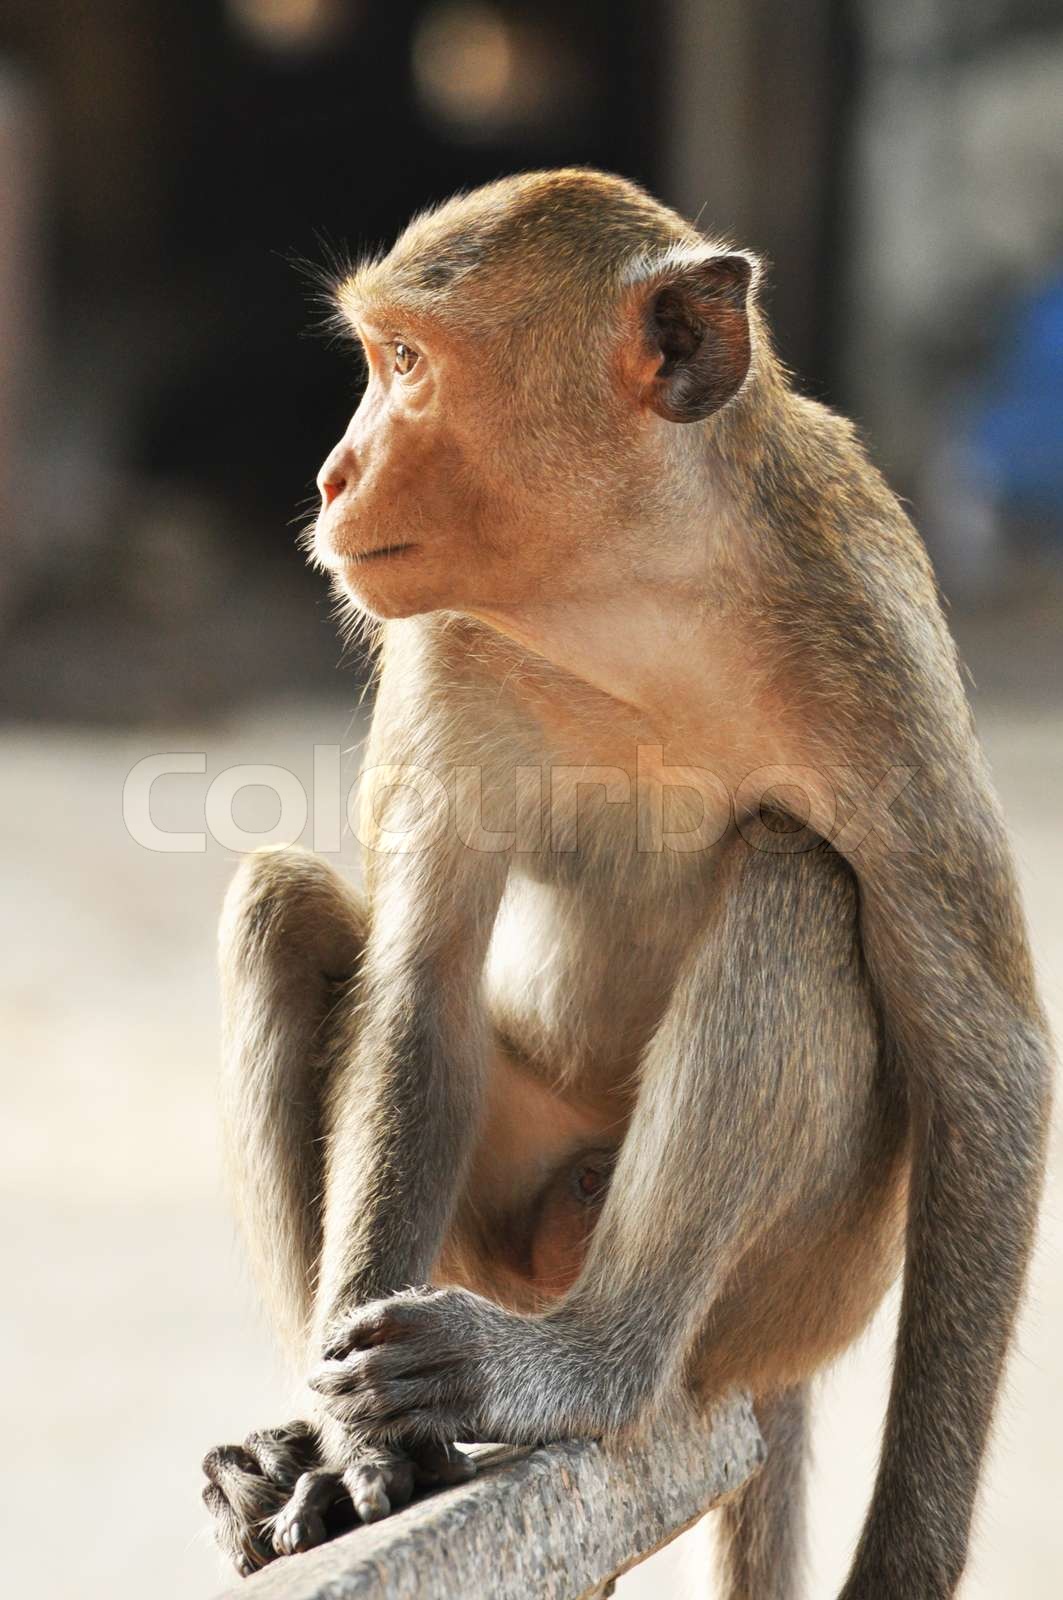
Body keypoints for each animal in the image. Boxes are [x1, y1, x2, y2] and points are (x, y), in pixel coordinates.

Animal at [200, 170, 1052, 1599]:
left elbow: (987, 1050)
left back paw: (589, 1367)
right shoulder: (442, 644)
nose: (333, 473)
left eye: (407, 365)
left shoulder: (872, 633)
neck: (627, 593)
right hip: (495, 1234)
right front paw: (338, 1448)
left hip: (795, 1287)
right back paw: (323, 1443)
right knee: (281, 908)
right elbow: (422, 982)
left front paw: (902, 1565)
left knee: (796, 883)